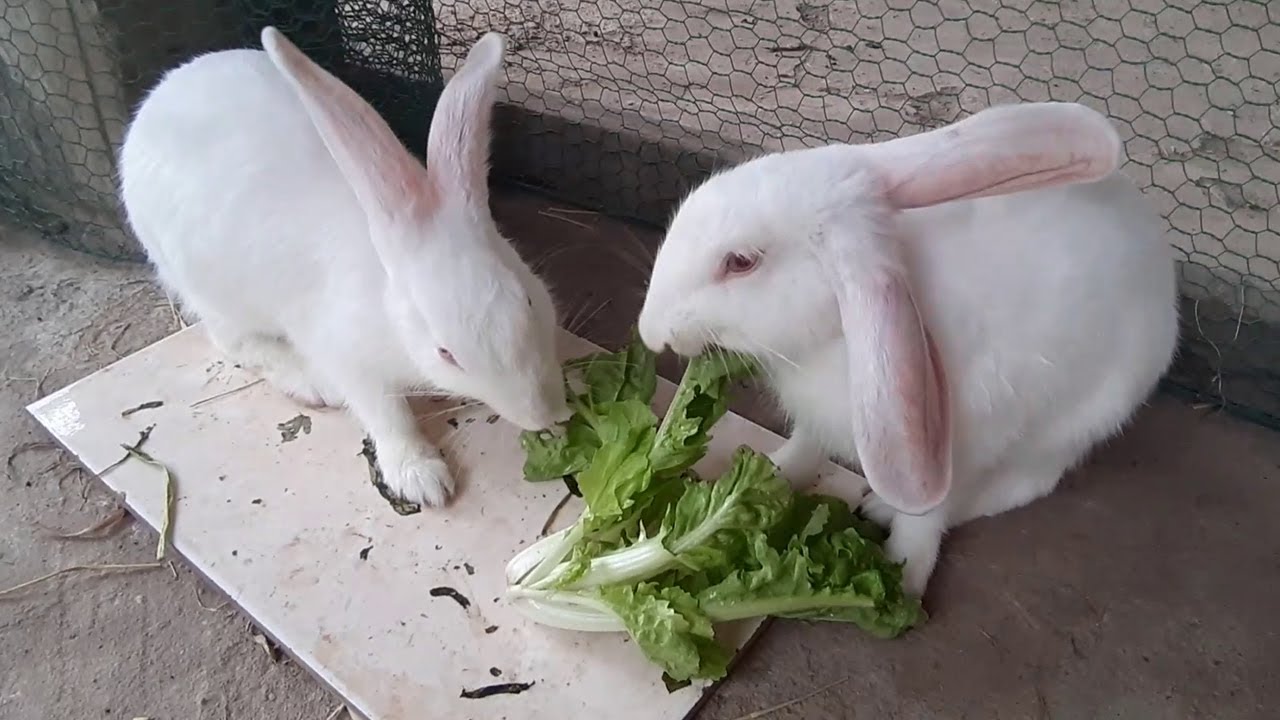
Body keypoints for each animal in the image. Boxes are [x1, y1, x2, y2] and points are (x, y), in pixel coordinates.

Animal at [118, 26, 570, 508]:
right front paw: (420, 478)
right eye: (446, 353)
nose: (542, 414)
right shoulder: (349, 359)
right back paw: (311, 382)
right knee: (233, 342)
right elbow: (385, 414)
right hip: (211, 291)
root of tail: (160, 96)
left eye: (529, 300)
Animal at [637, 102, 1179, 597]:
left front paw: (904, 578)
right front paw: (764, 478)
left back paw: (886, 508)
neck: (837, 334)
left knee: (1028, 483)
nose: (650, 332)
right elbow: (803, 452)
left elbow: (926, 518)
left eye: (741, 262)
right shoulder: (822, 422)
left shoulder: (952, 445)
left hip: (1075, 421)